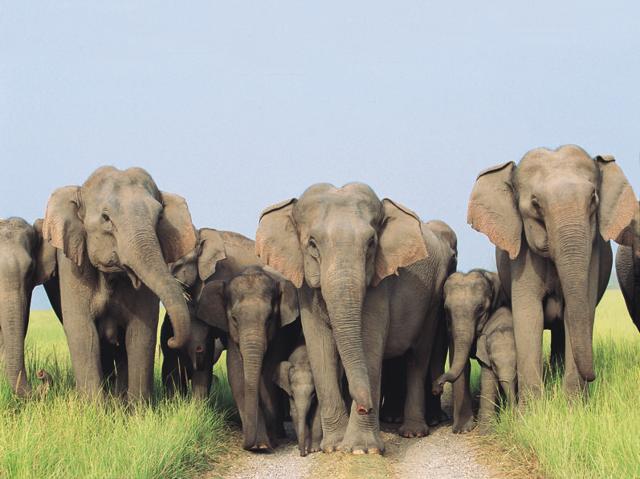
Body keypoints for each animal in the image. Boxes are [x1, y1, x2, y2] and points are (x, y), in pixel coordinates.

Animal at [41, 166, 197, 400]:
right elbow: (82, 331)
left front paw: (139, 409)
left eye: (160, 216)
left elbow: (141, 332)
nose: (171, 341)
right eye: (106, 218)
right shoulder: (73, 268)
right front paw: (93, 407)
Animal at [196, 265, 300, 452]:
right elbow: (236, 372)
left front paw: (266, 443)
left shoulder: (280, 332)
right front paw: (260, 446)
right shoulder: (231, 334)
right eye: (234, 319)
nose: (245, 444)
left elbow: (268, 373)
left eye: (270, 318)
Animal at [256, 183, 456, 453]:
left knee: (418, 356)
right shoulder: (305, 287)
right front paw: (332, 447)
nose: (364, 406)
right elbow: (319, 345)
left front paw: (361, 449)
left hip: (433, 296)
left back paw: (412, 432)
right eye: (312, 244)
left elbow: (369, 341)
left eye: (371, 242)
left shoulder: (379, 280)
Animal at [432, 269, 516, 432]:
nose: (436, 388)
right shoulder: (450, 329)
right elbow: (461, 363)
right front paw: (462, 429)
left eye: (480, 308)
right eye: (446, 310)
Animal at [467, 146, 636, 399]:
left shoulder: (593, 253)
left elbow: (579, 311)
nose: (594, 376)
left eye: (593, 199)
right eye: (536, 204)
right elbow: (529, 315)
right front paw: (532, 407)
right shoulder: (522, 256)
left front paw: (575, 404)